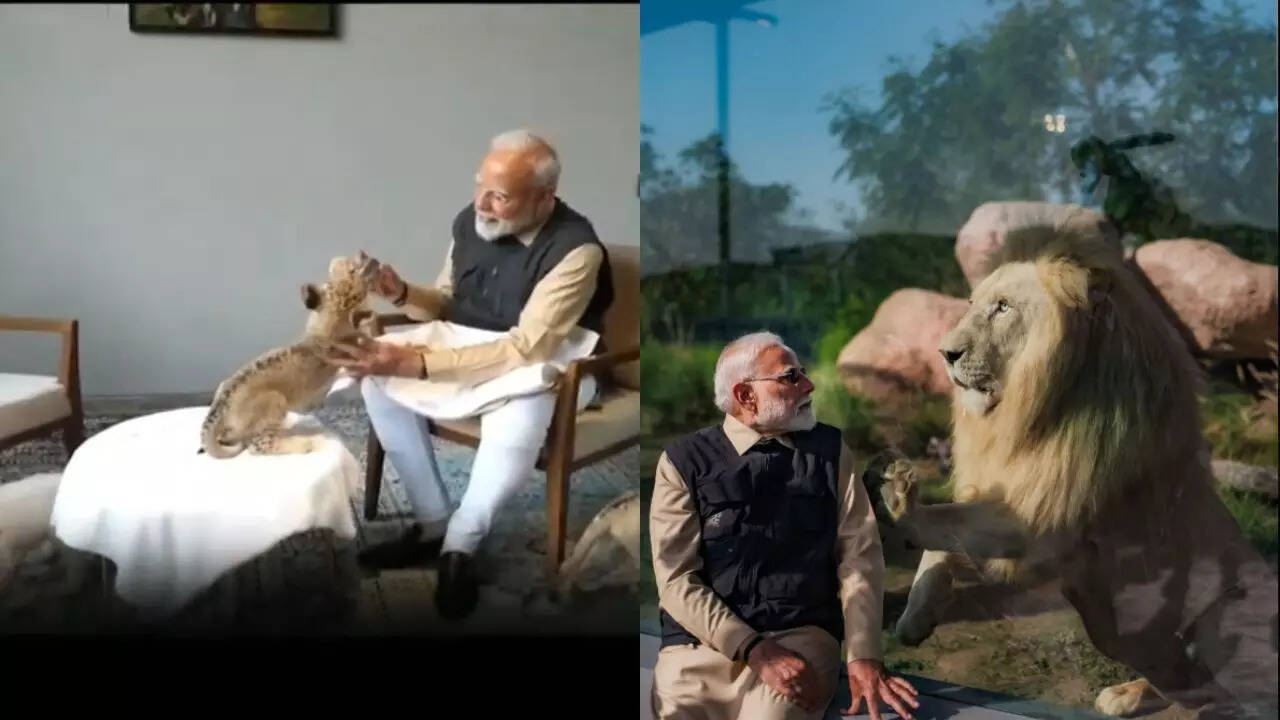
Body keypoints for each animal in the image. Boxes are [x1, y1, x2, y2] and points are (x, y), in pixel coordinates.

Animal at [879, 206, 1279, 719]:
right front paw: (914, 618)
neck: (1025, 412)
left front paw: (897, 499)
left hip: (1226, 612)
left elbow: (951, 522)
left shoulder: (1047, 524)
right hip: (1126, 639)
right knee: (1177, 674)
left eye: (1003, 307)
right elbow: (943, 539)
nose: (946, 353)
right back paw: (1132, 694)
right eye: (972, 303)